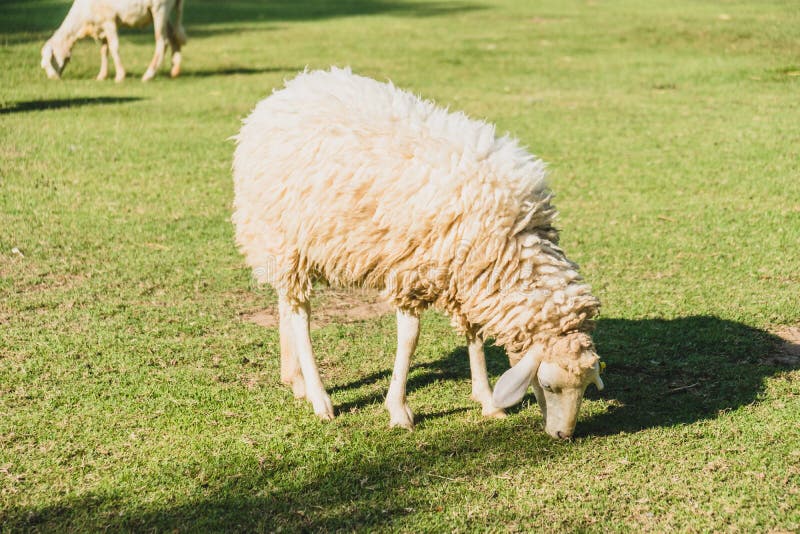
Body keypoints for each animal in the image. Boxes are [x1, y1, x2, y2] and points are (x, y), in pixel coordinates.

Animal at [40, 0, 186, 82]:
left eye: (50, 59)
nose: (53, 78)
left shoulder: (109, 21)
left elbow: (114, 47)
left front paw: (120, 76)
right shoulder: (101, 26)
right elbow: (104, 50)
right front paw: (101, 76)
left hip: (159, 10)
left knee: (162, 42)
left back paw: (148, 75)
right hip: (163, 14)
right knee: (173, 37)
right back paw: (174, 71)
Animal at [232, 67, 605, 439]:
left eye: (586, 387)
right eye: (549, 385)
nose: (564, 435)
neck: (513, 238)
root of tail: (285, 91)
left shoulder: (467, 275)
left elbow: (474, 334)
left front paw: (486, 399)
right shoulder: (409, 271)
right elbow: (410, 339)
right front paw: (399, 409)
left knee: (286, 303)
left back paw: (294, 379)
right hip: (283, 237)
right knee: (300, 316)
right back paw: (319, 396)